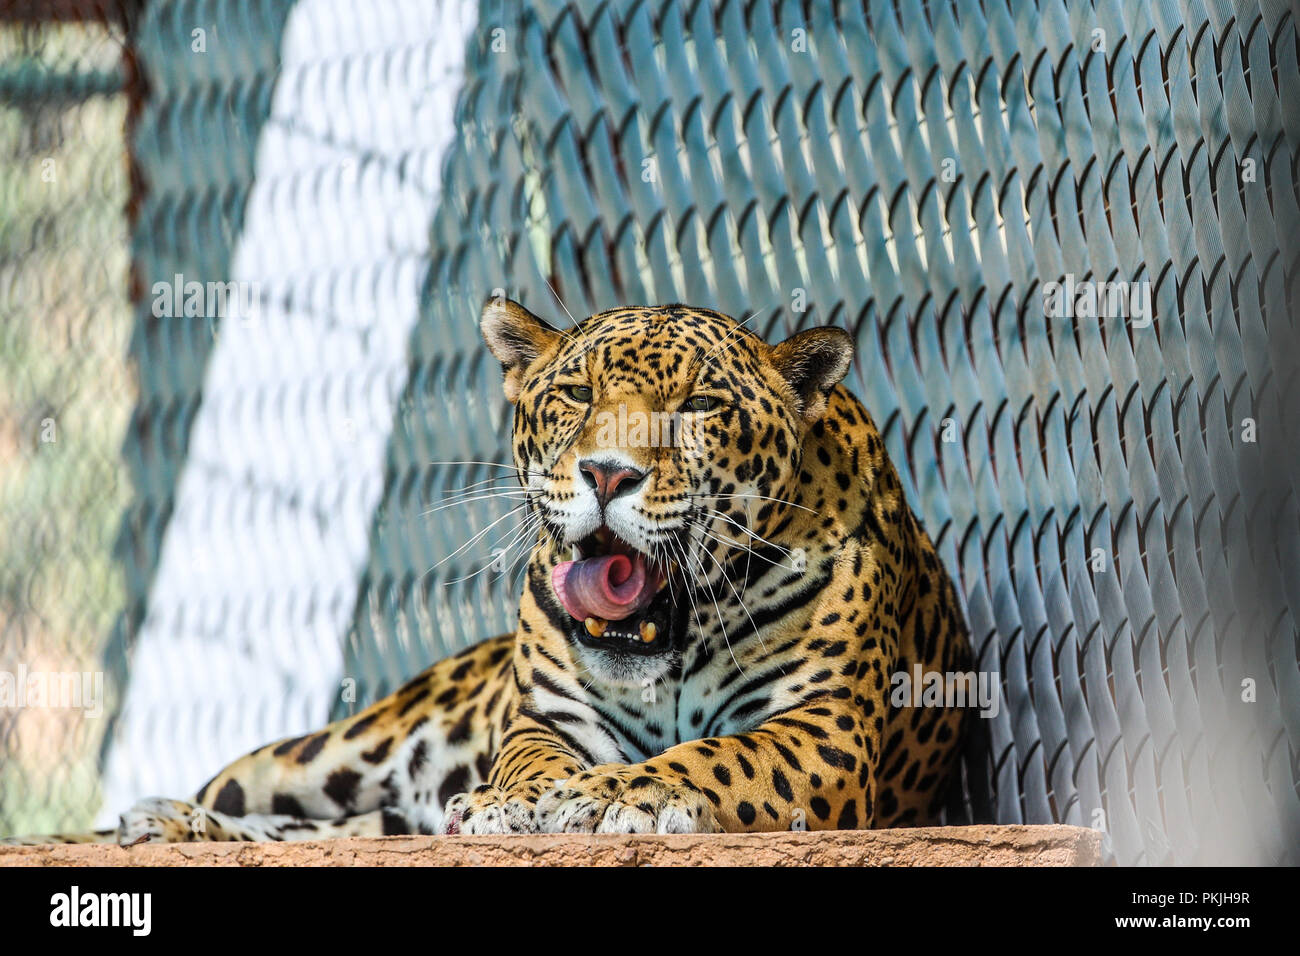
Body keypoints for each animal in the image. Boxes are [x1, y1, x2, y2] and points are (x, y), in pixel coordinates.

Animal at [3, 298, 973, 844]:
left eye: (700, 405)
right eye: (577, 395)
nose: (608, 474)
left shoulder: (824, 727)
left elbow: (717, 756)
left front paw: (623, 795)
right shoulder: (548, 715)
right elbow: (531, 761)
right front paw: (525, 802)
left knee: (352, 833)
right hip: (332, 750)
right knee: (258, 797)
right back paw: (170, 819)